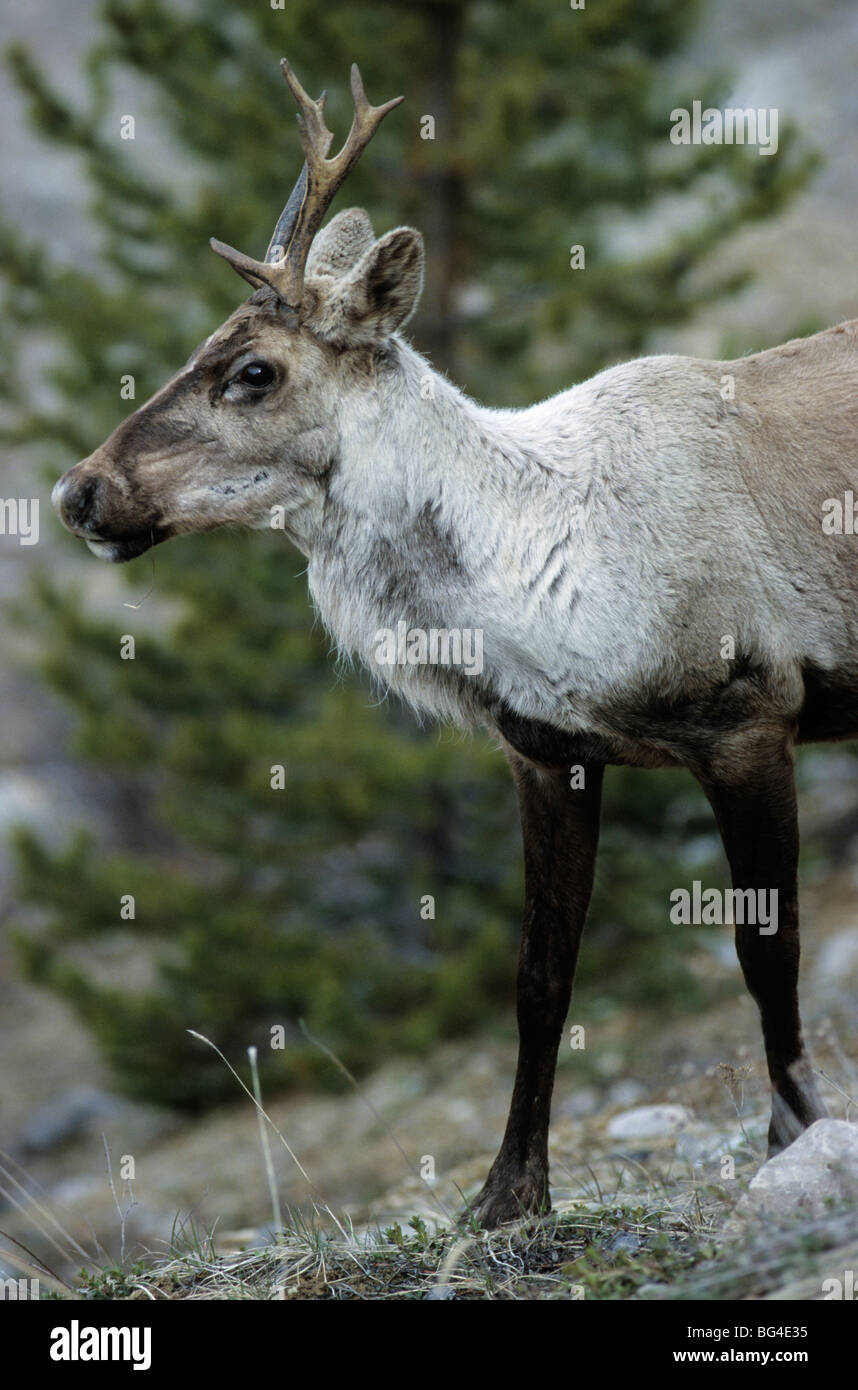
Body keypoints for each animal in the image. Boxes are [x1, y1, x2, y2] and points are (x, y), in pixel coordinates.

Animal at [52, 57, 849, 1229]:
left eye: (252, 370)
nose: (79, 491)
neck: (539, 568)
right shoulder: (552, 754)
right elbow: (539, 978)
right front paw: (506, 1195)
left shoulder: (752, 712)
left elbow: (768, 945)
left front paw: (796, 1133)